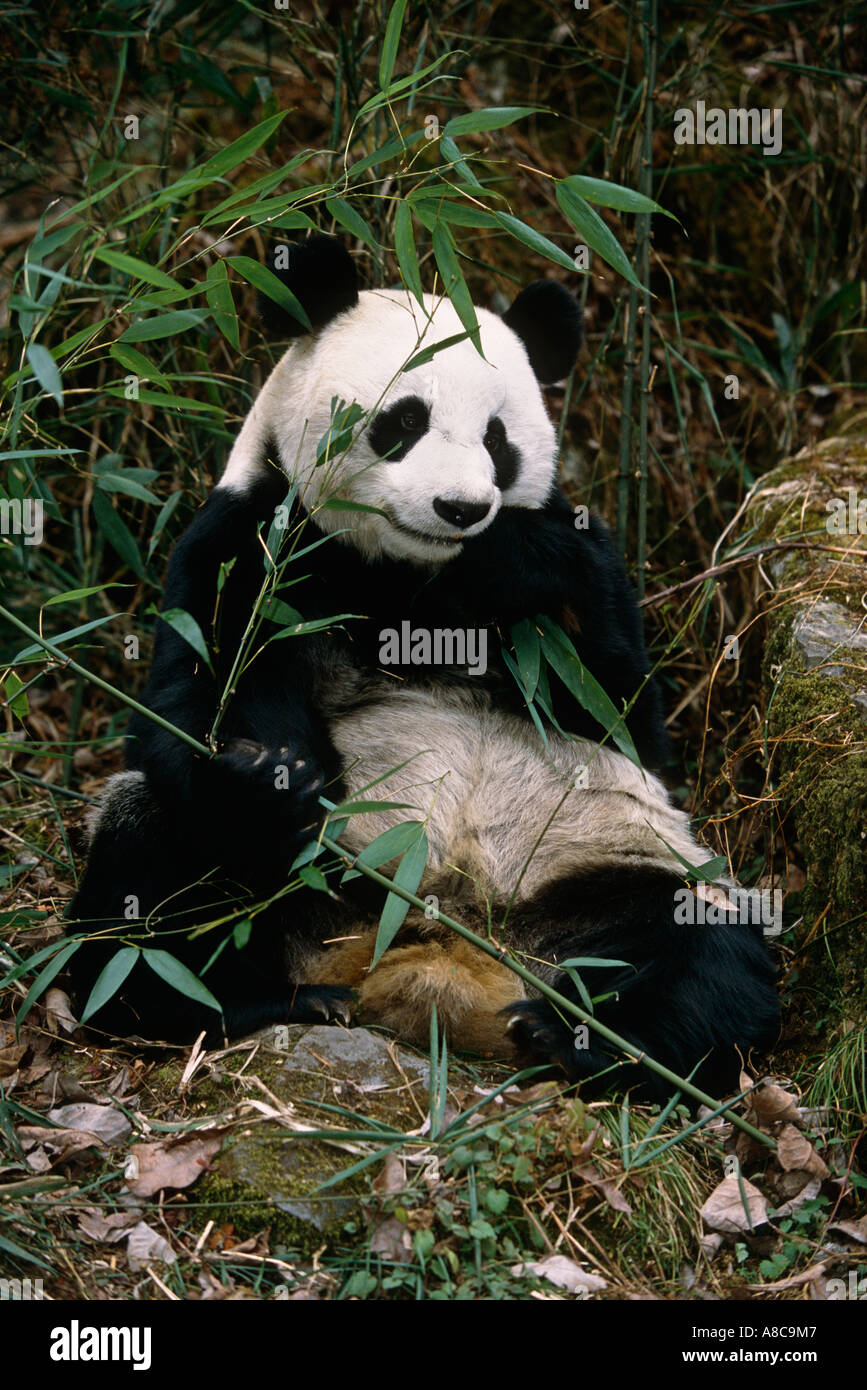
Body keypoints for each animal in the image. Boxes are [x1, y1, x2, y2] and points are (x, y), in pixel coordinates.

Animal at [67, 234, 779, 1100]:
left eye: (498, 440)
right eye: (403, 421)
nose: (461, 508)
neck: (409, 574)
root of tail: (438, 951)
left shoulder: (580, 571)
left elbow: (622, 714)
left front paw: (516, 560)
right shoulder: (251, 542)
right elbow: (189, 699)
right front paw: (273, 776)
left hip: (594, 871)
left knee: (703, 943)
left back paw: (585, 1040)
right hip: (313, 880)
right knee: (151, 865)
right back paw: (244, 1002)